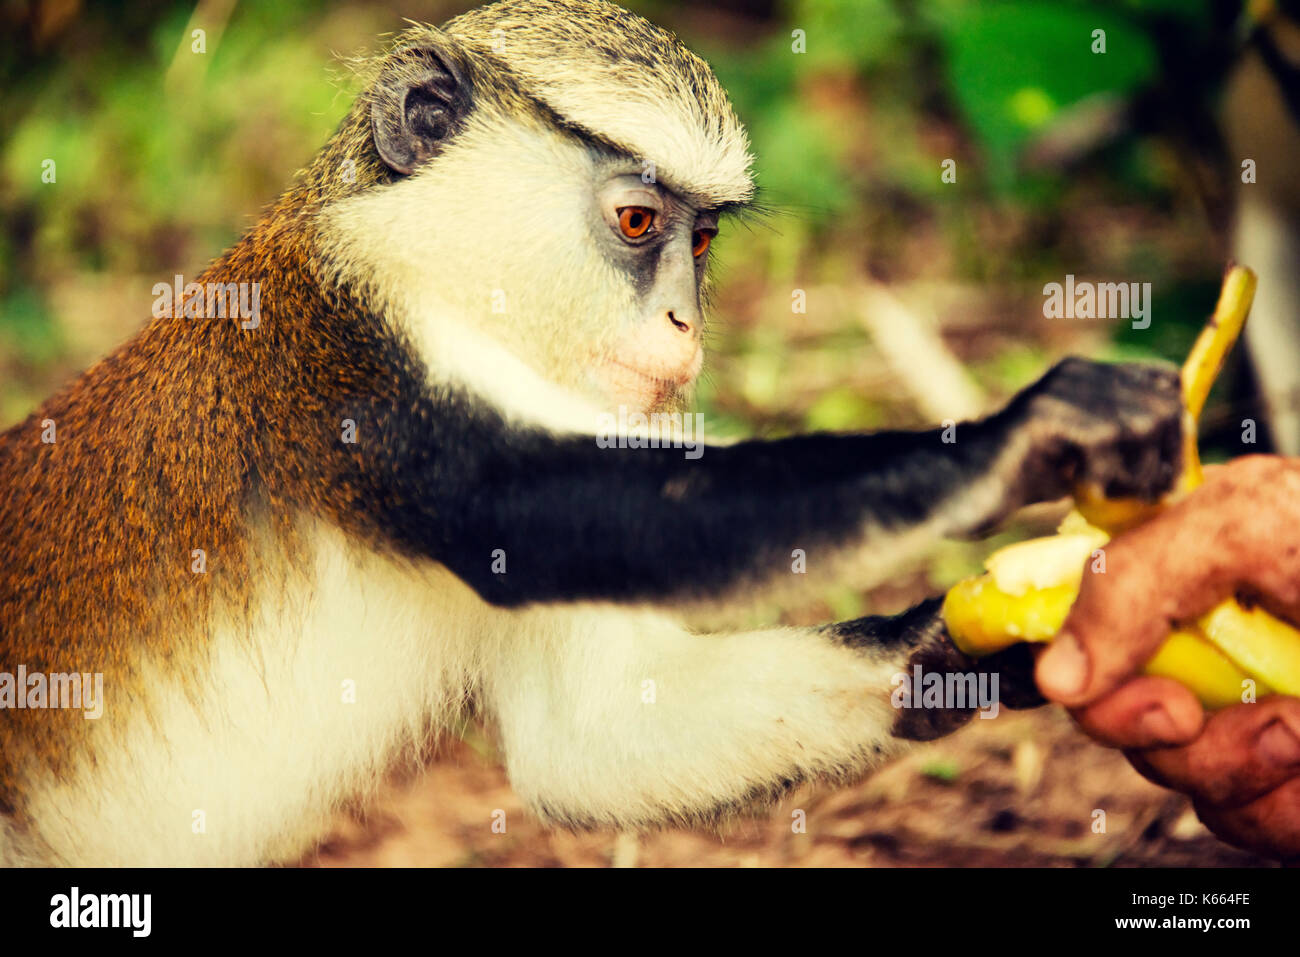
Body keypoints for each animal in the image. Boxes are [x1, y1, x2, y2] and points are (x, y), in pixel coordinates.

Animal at [0, 0, 1184, 866]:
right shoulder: (360, 367)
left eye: (700, 242)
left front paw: (980, 649)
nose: (683, 325)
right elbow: (541, 510)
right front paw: (1009, 438)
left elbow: (595, 739)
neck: (428, 267)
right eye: (636, 221)